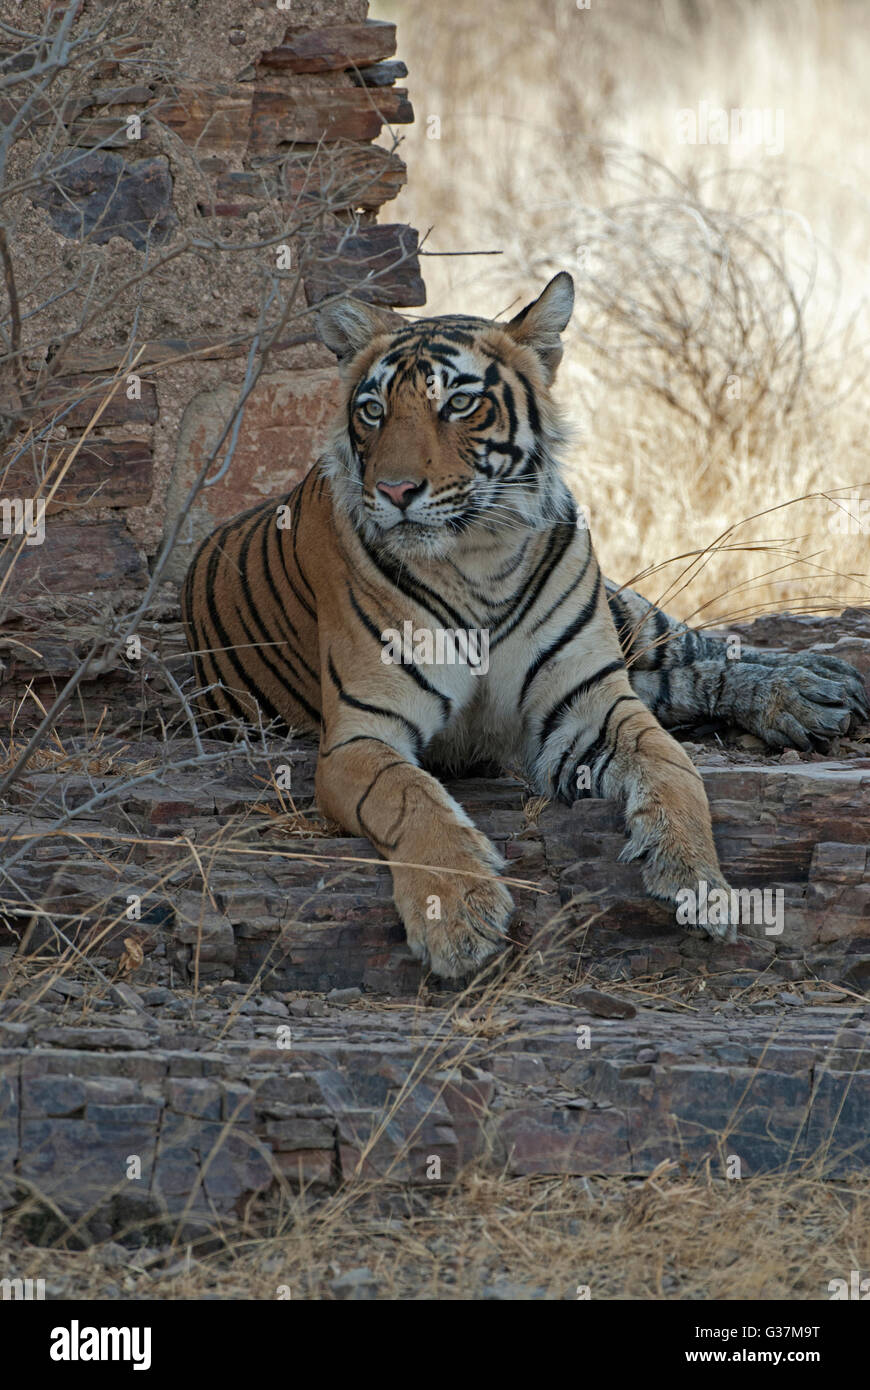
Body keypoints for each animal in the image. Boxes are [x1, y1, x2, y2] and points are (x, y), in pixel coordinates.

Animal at [181, 273, 868, 980]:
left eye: (459, 403)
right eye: (373, 410)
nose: (395, 492)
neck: (480, 556)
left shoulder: (591, 699)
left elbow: (673, 767)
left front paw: (697, 879)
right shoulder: (359, 736)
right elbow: (410, 797)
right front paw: (457, 916)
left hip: (629, 617)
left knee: (698, 654)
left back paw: (812, 686)